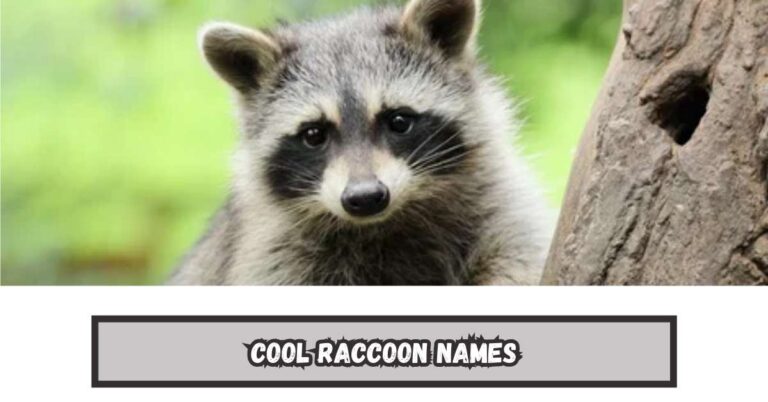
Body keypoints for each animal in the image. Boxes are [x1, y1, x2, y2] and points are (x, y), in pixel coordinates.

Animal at [169, 0, 554, 285]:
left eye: (398, 121)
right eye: (314, 135)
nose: (365, 197)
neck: (385, 223)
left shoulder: (499, 201)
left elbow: (517, 252)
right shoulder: (272, 251)